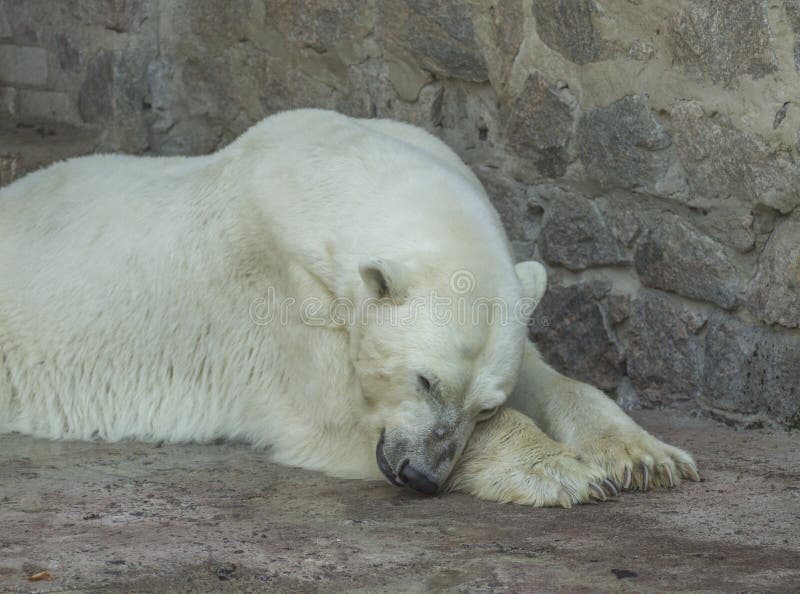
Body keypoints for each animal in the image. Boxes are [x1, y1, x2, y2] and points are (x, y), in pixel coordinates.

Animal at [0, 109, 698, 506]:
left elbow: (544, 373)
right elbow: (342, 413)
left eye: (484, 404)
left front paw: (645, 457)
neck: (329, 168)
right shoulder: (277, 296)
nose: (420, 476)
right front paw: (560, 470)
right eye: (425, 380)